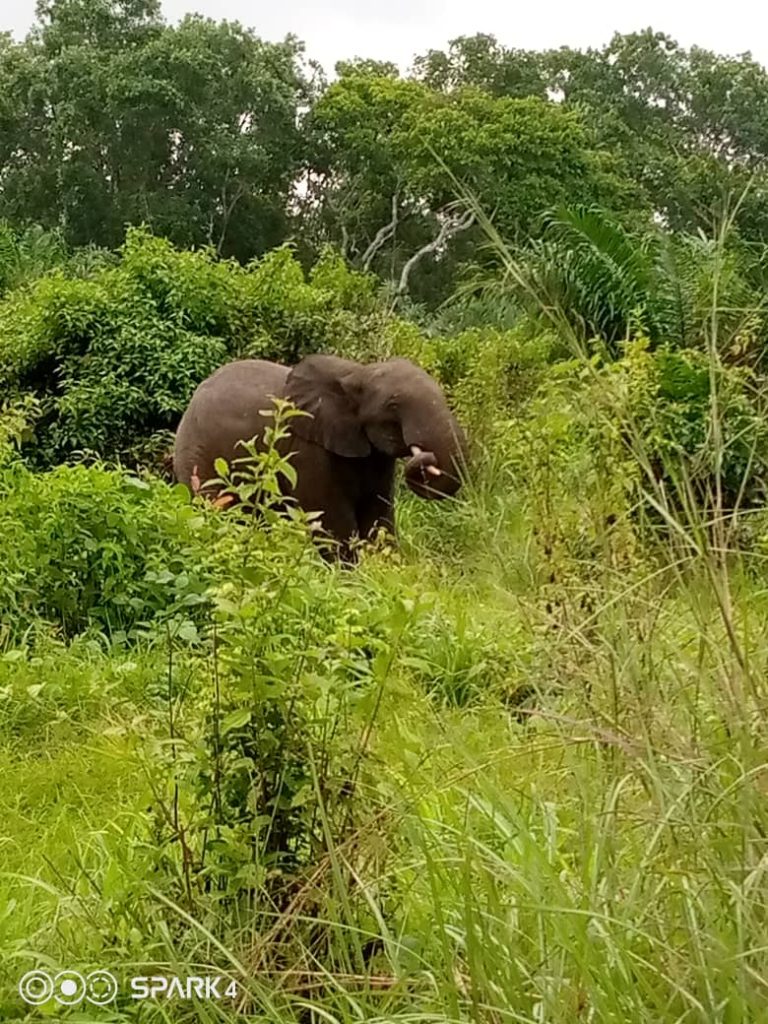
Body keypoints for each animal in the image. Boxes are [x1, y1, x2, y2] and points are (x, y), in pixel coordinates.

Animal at [173, 354, 468, 557]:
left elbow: (379, 516)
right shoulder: (306, 451)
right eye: (393, 405)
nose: (425, 457)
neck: (358, 372)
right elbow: (332, 521)